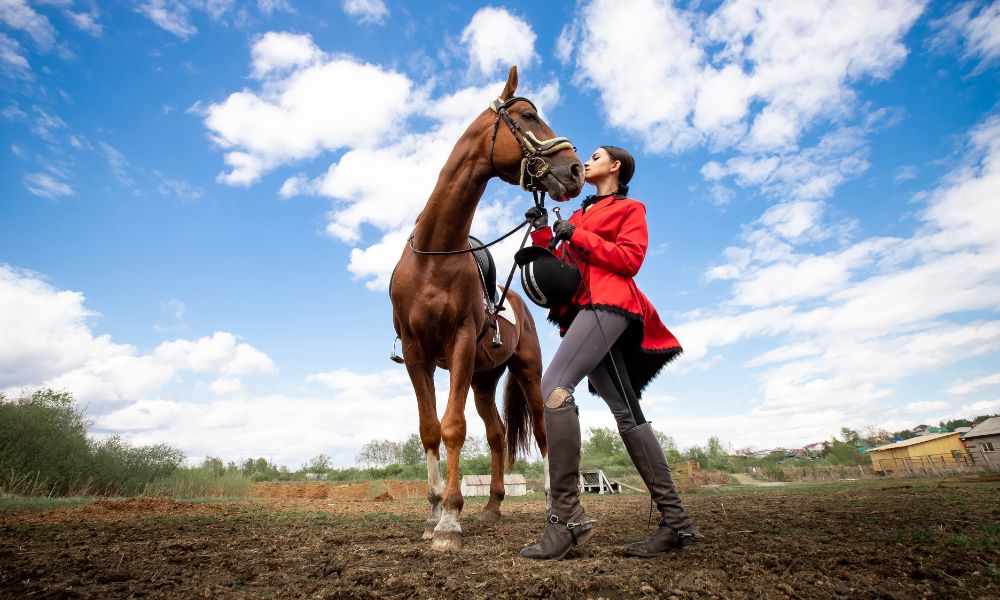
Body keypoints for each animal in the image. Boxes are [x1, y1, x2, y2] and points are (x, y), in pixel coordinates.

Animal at [389, 66, 584, 551]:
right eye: (529, 116)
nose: (575, 169)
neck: (433, 255)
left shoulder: (458, 345)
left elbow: (452, 427)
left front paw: (450, 521)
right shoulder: (417, 356)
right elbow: (430, 428)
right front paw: (434, 512)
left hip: (527, 371)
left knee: (541, 429)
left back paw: (549, 502)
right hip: (483, 379)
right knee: (496, 434)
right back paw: (493, 506)